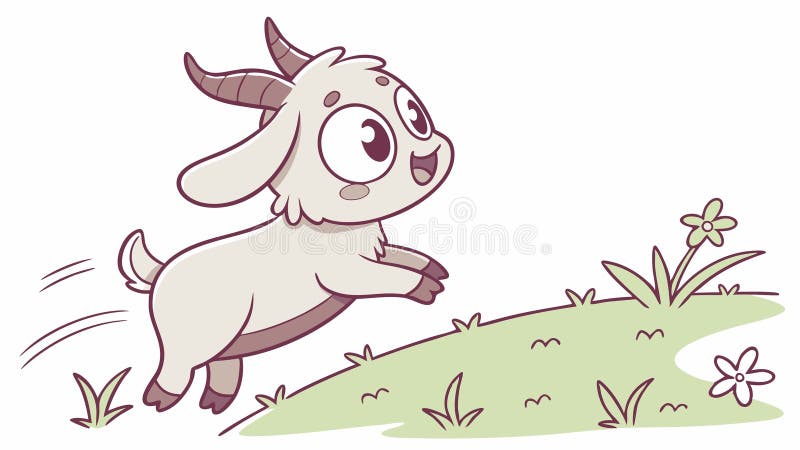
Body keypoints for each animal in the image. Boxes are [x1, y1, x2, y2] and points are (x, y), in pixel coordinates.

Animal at [118, 18, 454, 414]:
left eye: (414, 114)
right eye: (371, 141)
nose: (426, 161)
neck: (331, 227)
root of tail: (159, 273)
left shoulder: (375, 251)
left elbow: (403, 257)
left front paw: (434, 268)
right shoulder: (343, 275)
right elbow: (387, 276)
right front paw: (426, 288)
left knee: (222, 364)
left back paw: (217, 402)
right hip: (192, 339)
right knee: (177, 366)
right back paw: (160, 400)